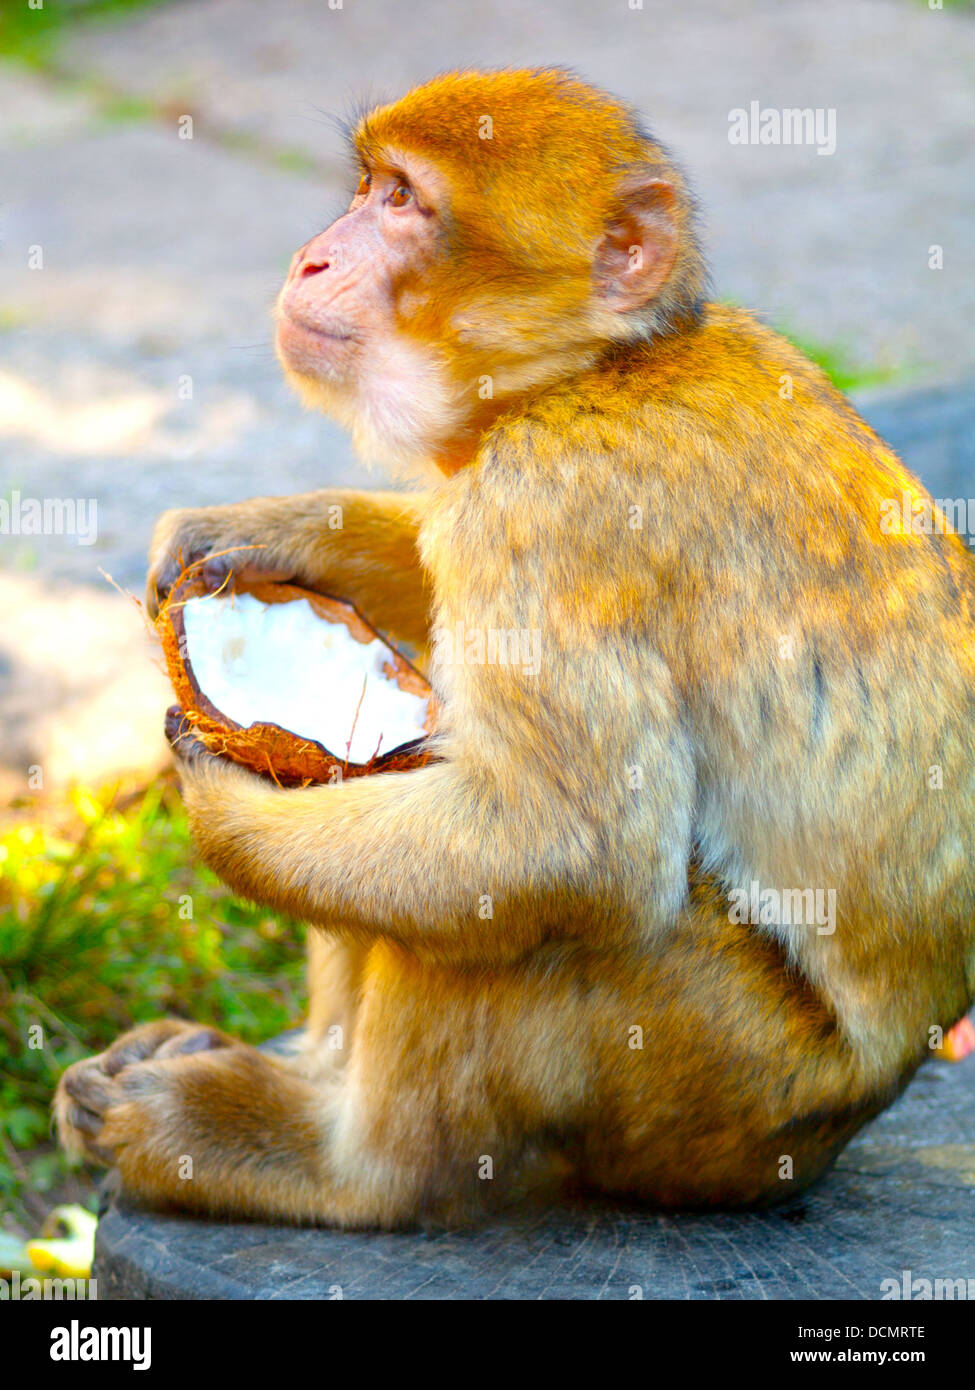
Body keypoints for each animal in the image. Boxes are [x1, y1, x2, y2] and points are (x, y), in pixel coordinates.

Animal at [55, 67, 975, 1228]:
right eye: (368, 187)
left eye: (405, 202)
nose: (314, 257)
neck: (595, 370)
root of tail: (840, 1128)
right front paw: (267, 530)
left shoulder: (551, 498)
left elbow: (561, 849)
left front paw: (230, 814)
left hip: (725, 1082)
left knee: (535, 905)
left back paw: (332, 1167)